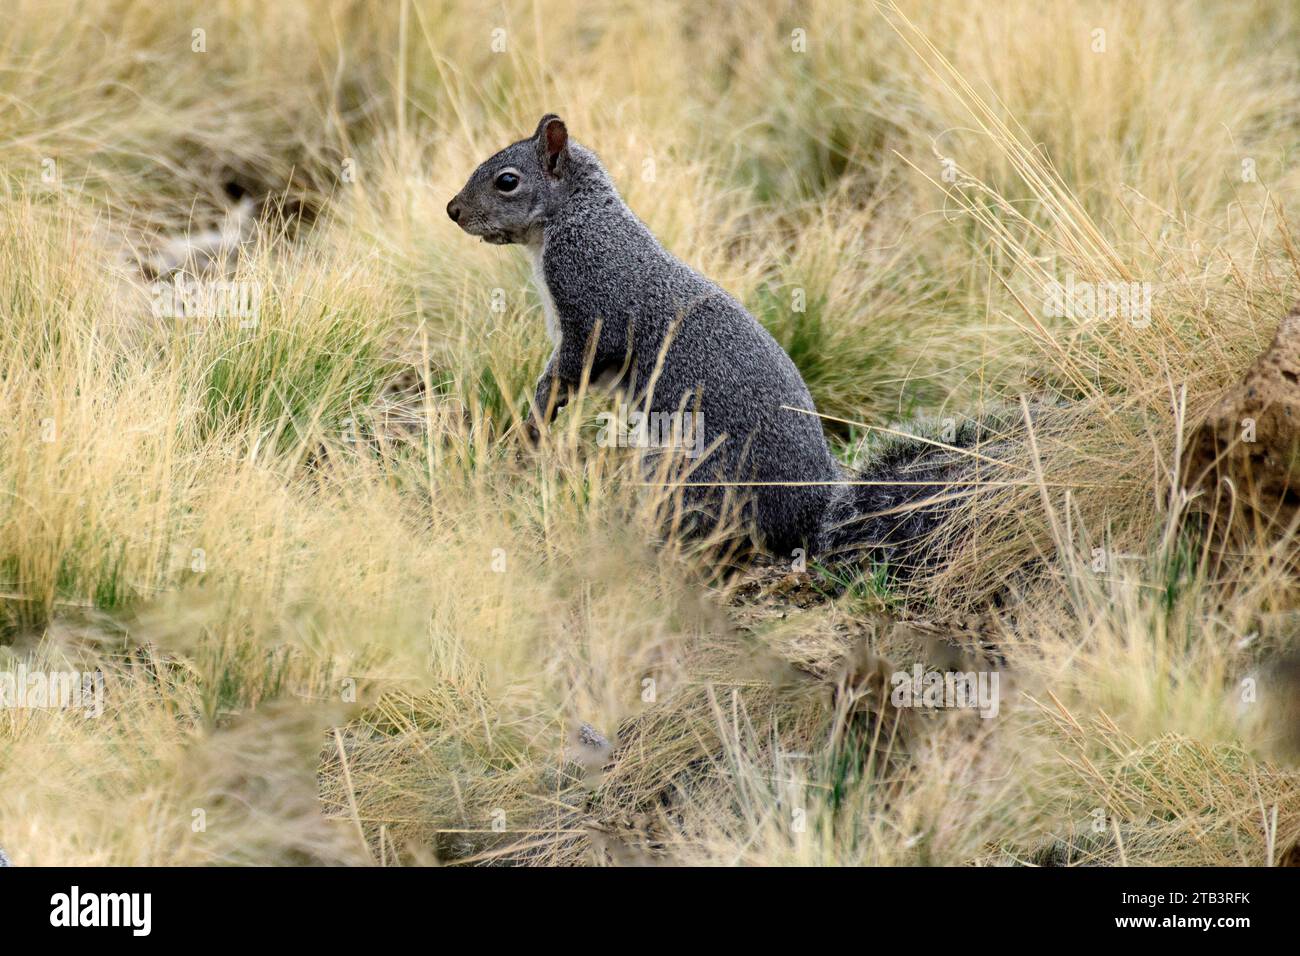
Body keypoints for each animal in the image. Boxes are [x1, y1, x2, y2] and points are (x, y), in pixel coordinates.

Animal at [448, 115, 978, 570]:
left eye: (507, 180)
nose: (453, 210)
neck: (577, 219)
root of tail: (812, 510)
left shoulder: (592, 310)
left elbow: (572, 368)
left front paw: (536, 418)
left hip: (687, 468)